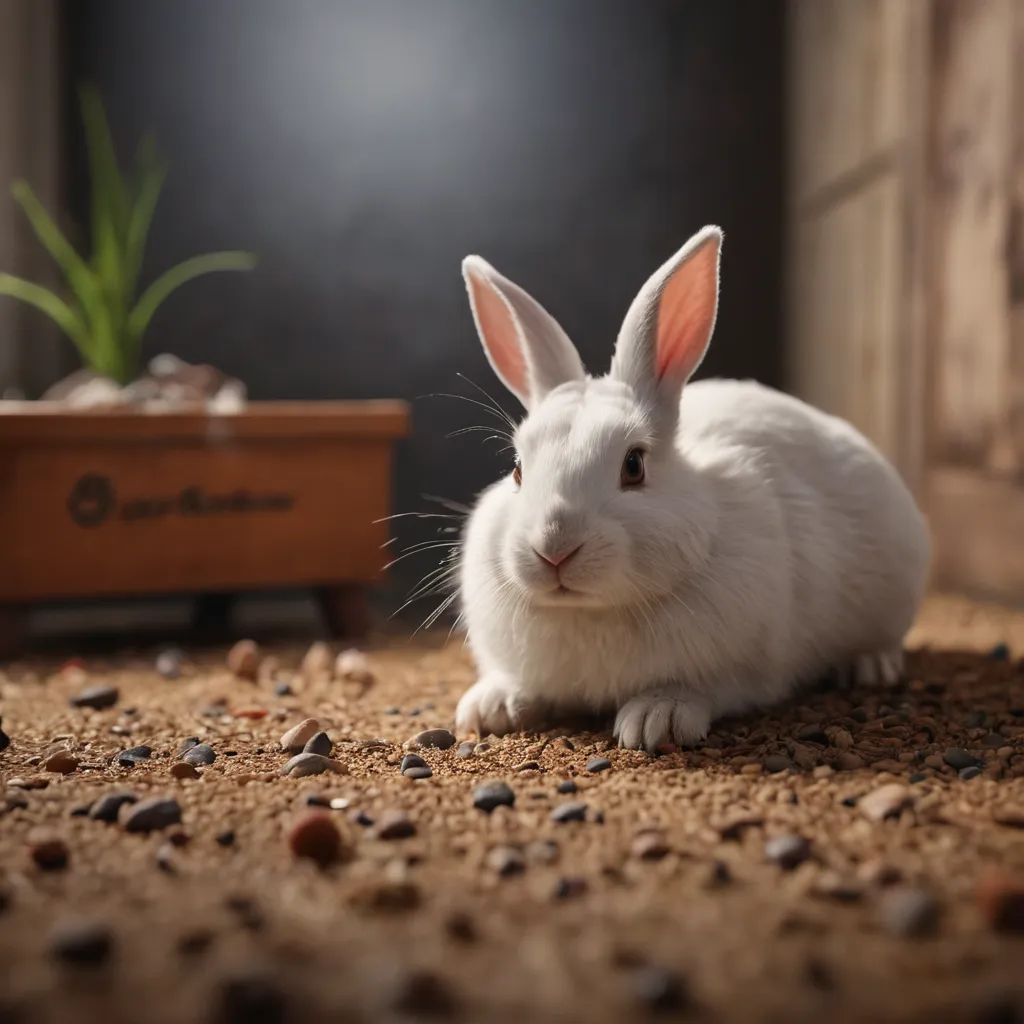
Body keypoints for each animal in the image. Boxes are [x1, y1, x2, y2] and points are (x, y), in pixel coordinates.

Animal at [453, 225, 931, 752]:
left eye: (634, 465)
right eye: (518, 469)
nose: (554, 548)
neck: (590, 611)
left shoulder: (748, 669)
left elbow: (702, 687)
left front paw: (655, 718)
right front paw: (489, 706)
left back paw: (871, 667)